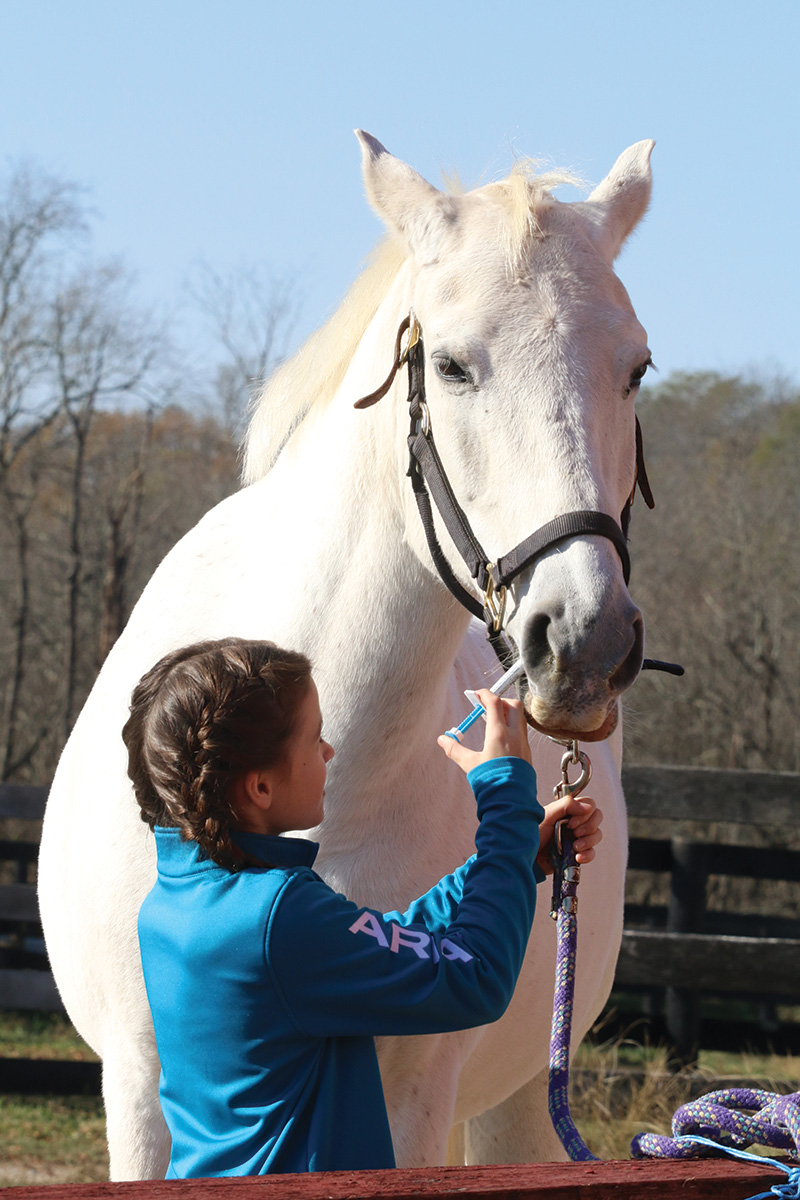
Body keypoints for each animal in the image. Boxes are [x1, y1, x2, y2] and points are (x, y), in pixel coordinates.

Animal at [38, 131, 655, 1180]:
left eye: (636, 370)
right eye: (450, 366)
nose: (583, 641)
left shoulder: (416, 1098)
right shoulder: (137, 1093)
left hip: (520, 1101)